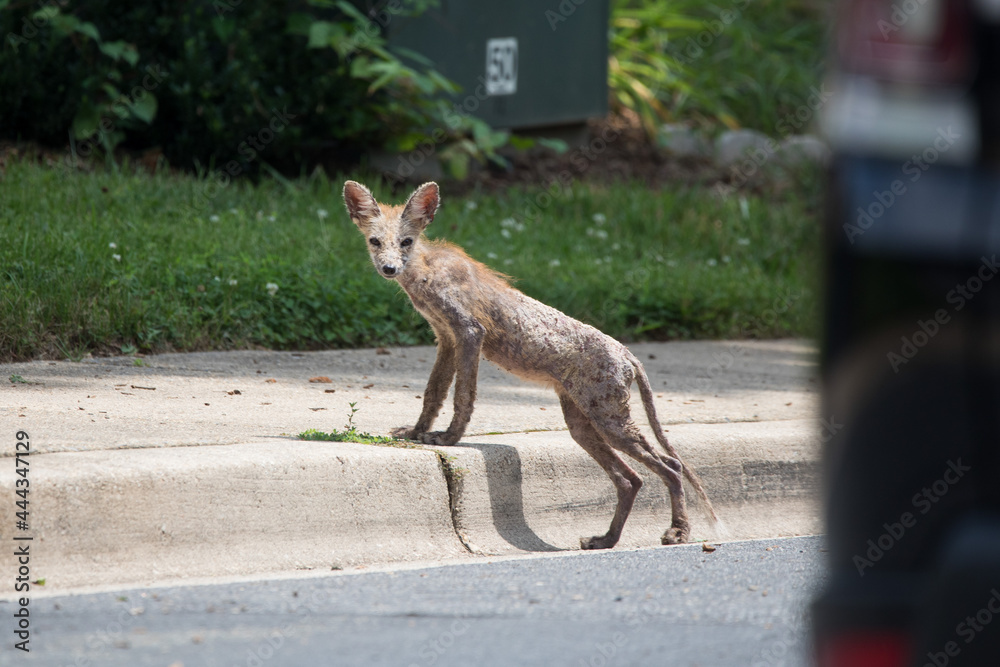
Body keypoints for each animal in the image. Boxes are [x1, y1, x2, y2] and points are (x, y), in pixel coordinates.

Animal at [342, 180, 717, 549]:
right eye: (375, 242)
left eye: (406, 242)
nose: (389, 269)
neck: (426, 272)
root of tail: (628, 354)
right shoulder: (445, 338)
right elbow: (433, 393)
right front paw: (416, 432)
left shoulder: (469, 332)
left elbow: (463, 396)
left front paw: (449, 438)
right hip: (583, 427)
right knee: (633, 480)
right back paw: (606, 540)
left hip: (610, 423)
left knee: (671, 467)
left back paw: (678, 532)